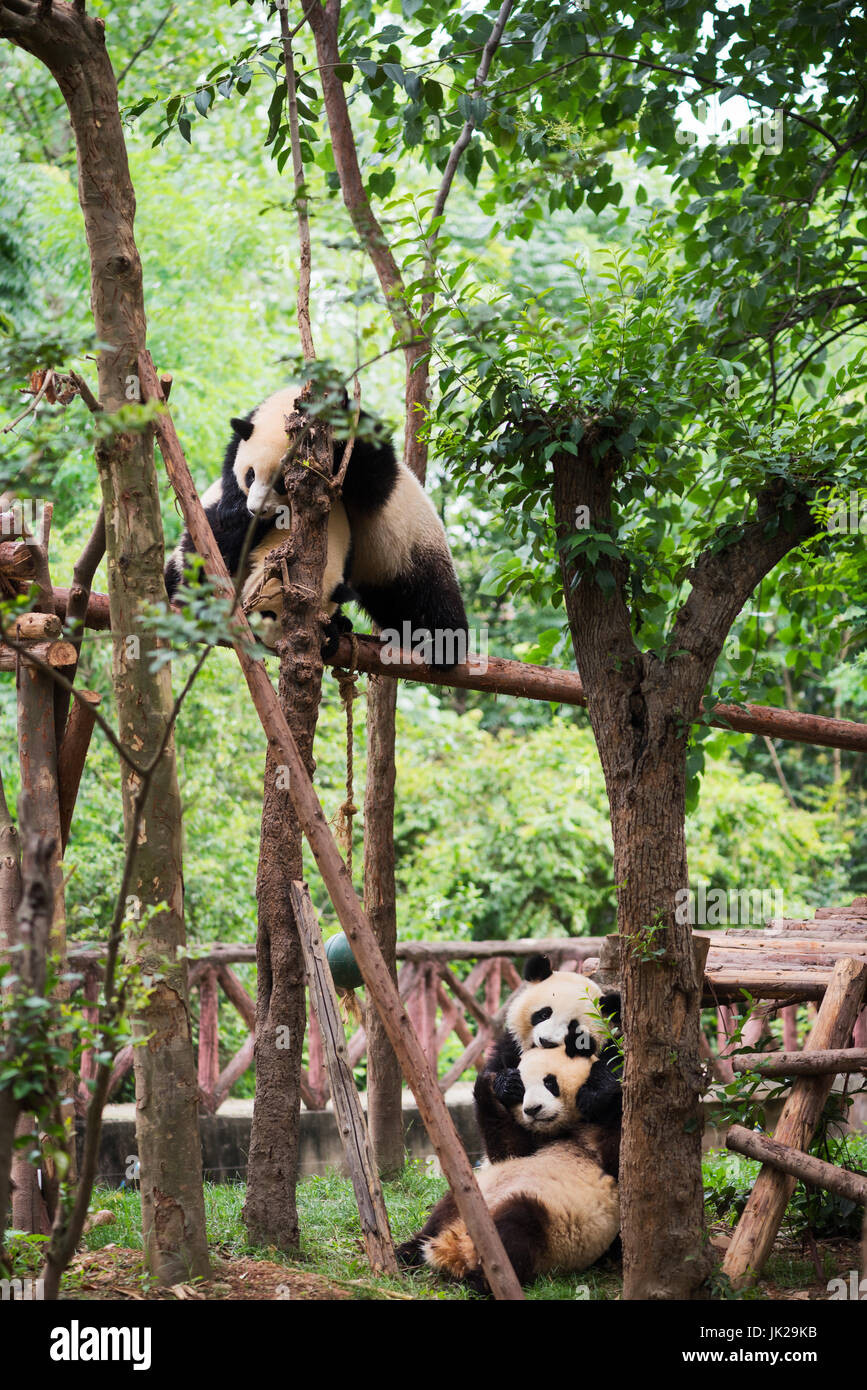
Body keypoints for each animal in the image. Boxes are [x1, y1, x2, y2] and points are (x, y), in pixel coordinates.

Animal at [164, 385, 469, 664]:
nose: (256, 509)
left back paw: (446, 645)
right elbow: (215, 538)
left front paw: (330, 632)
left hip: (408, 549)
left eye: (280, 482)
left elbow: (371, 475)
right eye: (250, 475)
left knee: (428, 596)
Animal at [397, 1044, 621, 1292]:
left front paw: (602, 1085)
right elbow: (507, 1149)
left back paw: (481, 1279)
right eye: (522, 1088)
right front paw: (497, 1083)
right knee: (444, 1211)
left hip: (552, 1226)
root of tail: (454, 1245)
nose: (532, 1110)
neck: (567, 1129)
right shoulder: (532, 1143)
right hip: (474, 1193)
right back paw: (408, 1250)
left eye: (550, 1083)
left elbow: (618, 1156)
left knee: (518, 1228)